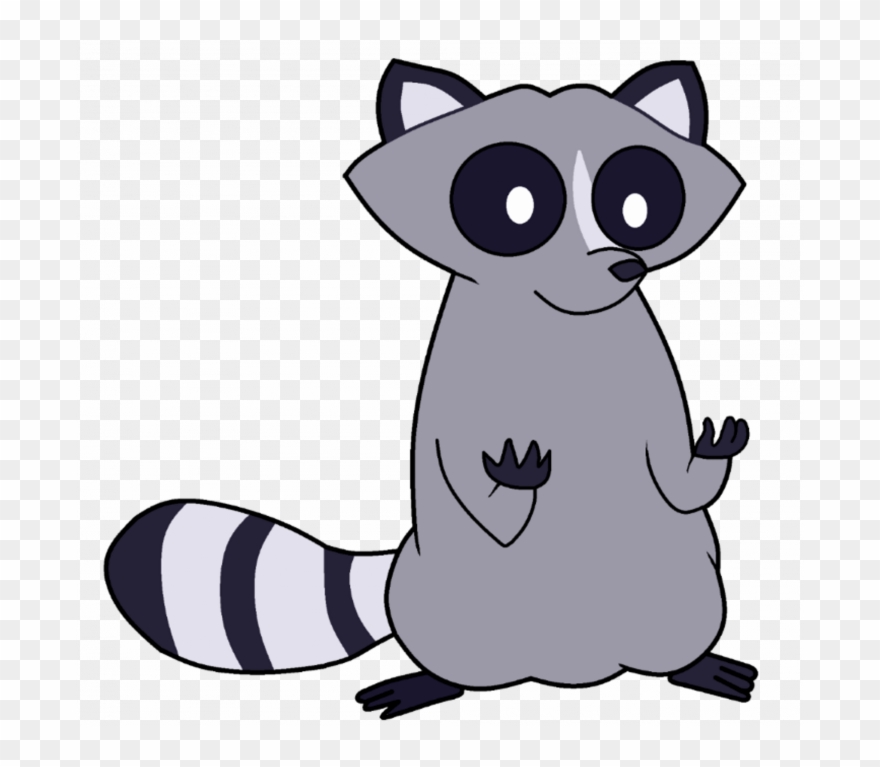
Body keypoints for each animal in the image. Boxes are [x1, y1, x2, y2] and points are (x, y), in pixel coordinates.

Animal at [105, 59, 758, 719]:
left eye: (638, 204)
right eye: (514, 204)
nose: (623, 265)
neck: (565, 321)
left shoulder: (654, 391)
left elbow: (677, 481)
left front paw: (708, 453)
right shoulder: (461, 404)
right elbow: (479, 497)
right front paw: (512, 482)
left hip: (685, 591)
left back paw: (691, 665)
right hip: (453, 610)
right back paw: (432, 680)